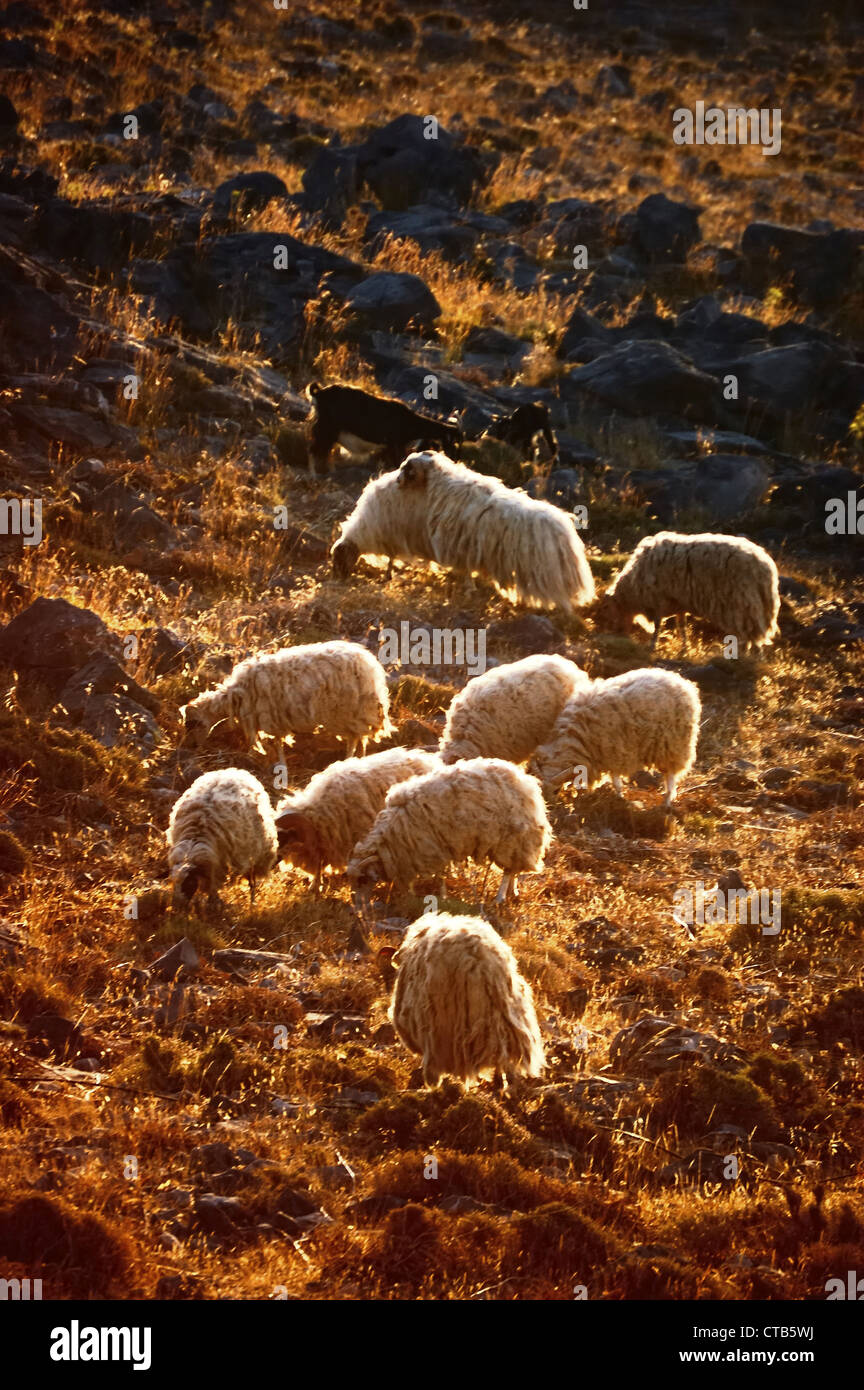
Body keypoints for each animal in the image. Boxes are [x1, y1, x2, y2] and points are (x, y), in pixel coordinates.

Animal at [167, 768, 278, 907]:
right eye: (173, 882)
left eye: (190, 882)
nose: (178, 905)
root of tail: (234, 770)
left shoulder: (217, 867)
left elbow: (213, 888)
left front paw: (213, 905)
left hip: (256, 854)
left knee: (252, 882)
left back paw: (252, 903)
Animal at [181, 640, 391, 757]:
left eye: (193, 723)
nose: (189, 747)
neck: (234, 695)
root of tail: (371, 668)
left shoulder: (271, 719)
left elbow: (277, 744)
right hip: (357, 714)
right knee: (361, 739)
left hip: (349, 712)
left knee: (355, 739)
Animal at [346, 757, 552, 904]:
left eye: (363, 880)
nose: (358, 907)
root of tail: (527, 783)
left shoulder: (433, 849)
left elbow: (440, 875)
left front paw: (441, 896)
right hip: (517, 842)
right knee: (514, 869)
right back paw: (512, 892)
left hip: (511, 838)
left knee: (509, 870)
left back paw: (500, 897)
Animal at [530, 668, 701, 807]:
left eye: (556, 790)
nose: (550, 804)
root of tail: (684, 684)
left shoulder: (612, 751)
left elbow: (615, 778)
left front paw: (619, 796)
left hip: (673, 743)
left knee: (670, 775)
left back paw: (667, 801)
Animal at [595, 531, 780, 654]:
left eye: (606, 608)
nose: (615, 635)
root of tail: (765, 569)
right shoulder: (679, 604)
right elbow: (682, 626)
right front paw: (684, 647)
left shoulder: (659, 600)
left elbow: (657, 626)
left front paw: (653, 646)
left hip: (744, 605)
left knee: (750, 635)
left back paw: (746, 656)